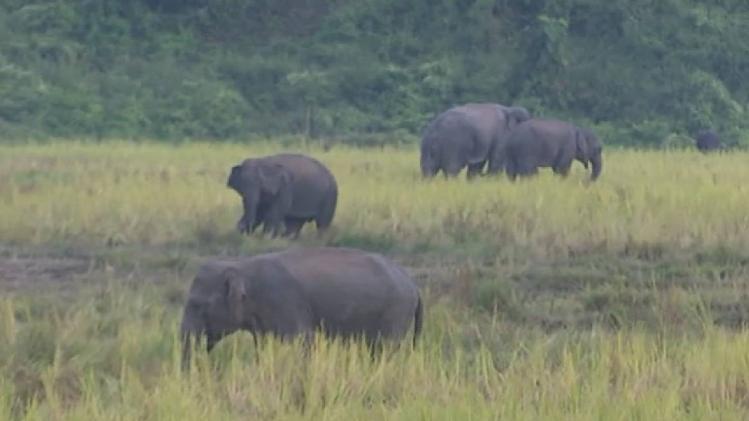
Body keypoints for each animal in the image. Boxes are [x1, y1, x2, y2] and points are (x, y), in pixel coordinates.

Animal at [179, 247, 423, 366]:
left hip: (395, 312)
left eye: (198, 305)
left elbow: (304, 341)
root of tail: (413, 284)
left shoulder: (285, 302)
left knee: (385, 348)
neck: (242, 266)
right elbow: (263, 346)